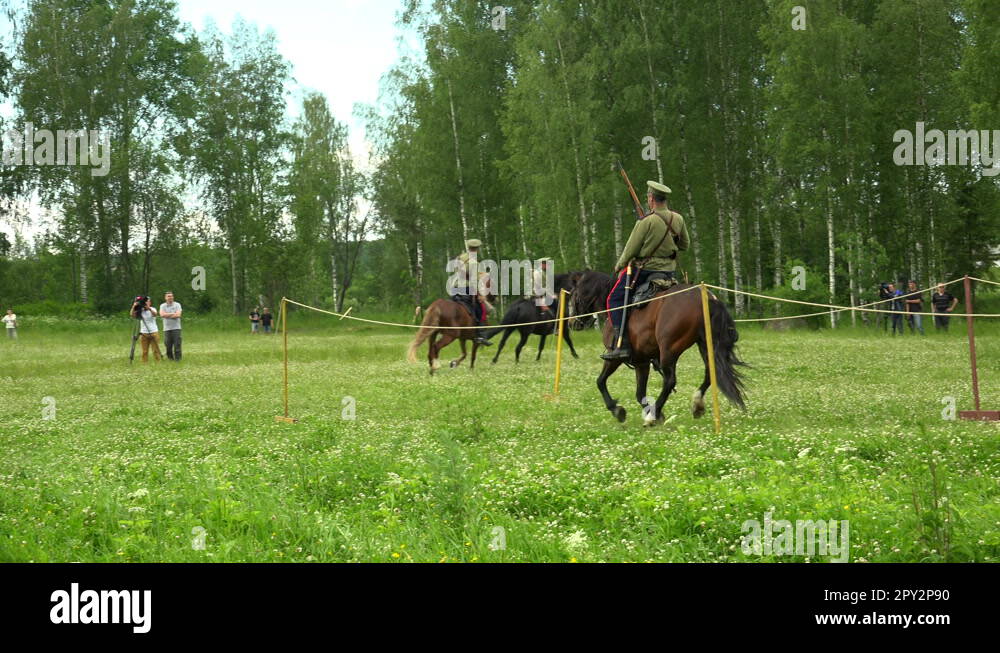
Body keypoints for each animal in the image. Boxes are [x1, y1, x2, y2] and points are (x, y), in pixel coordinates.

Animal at [597, 283, 747, 425]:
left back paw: (652, 417)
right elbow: (640, 394)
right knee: (711, 372)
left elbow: (600, 381)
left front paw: (617, 410)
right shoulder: (642, 362)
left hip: (669, 350)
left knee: (670, 381)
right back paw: (696, 404)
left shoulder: (615, 358)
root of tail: (705, 297)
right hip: (705, 344)